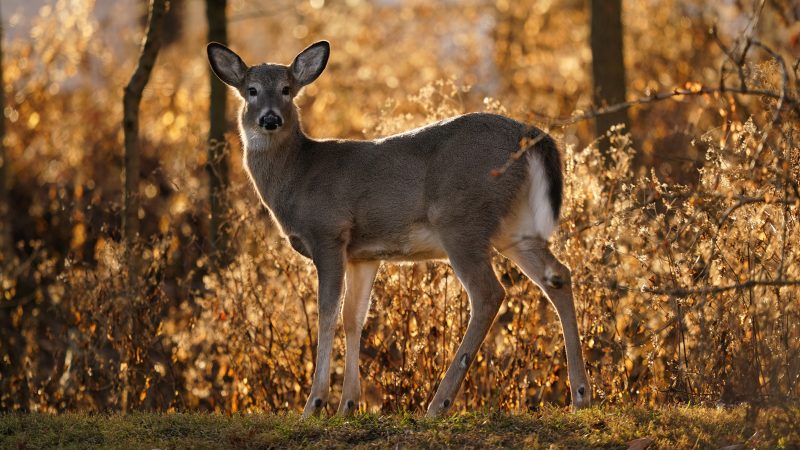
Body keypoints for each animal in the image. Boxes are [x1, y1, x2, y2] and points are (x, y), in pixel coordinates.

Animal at [206, 40, 591, 418]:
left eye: (287, 89)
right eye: (251, 90)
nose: (270, 118)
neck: (298, 176)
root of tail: (533, 135)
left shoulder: (328, 233)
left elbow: (326, 315)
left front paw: (314, 404)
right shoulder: (363, 254)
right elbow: (353, 317)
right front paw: (348, 405)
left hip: (461, 218)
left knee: (488, 293)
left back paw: (439, 404)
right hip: (514, 226)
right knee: (558, 275)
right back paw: (581, 394)